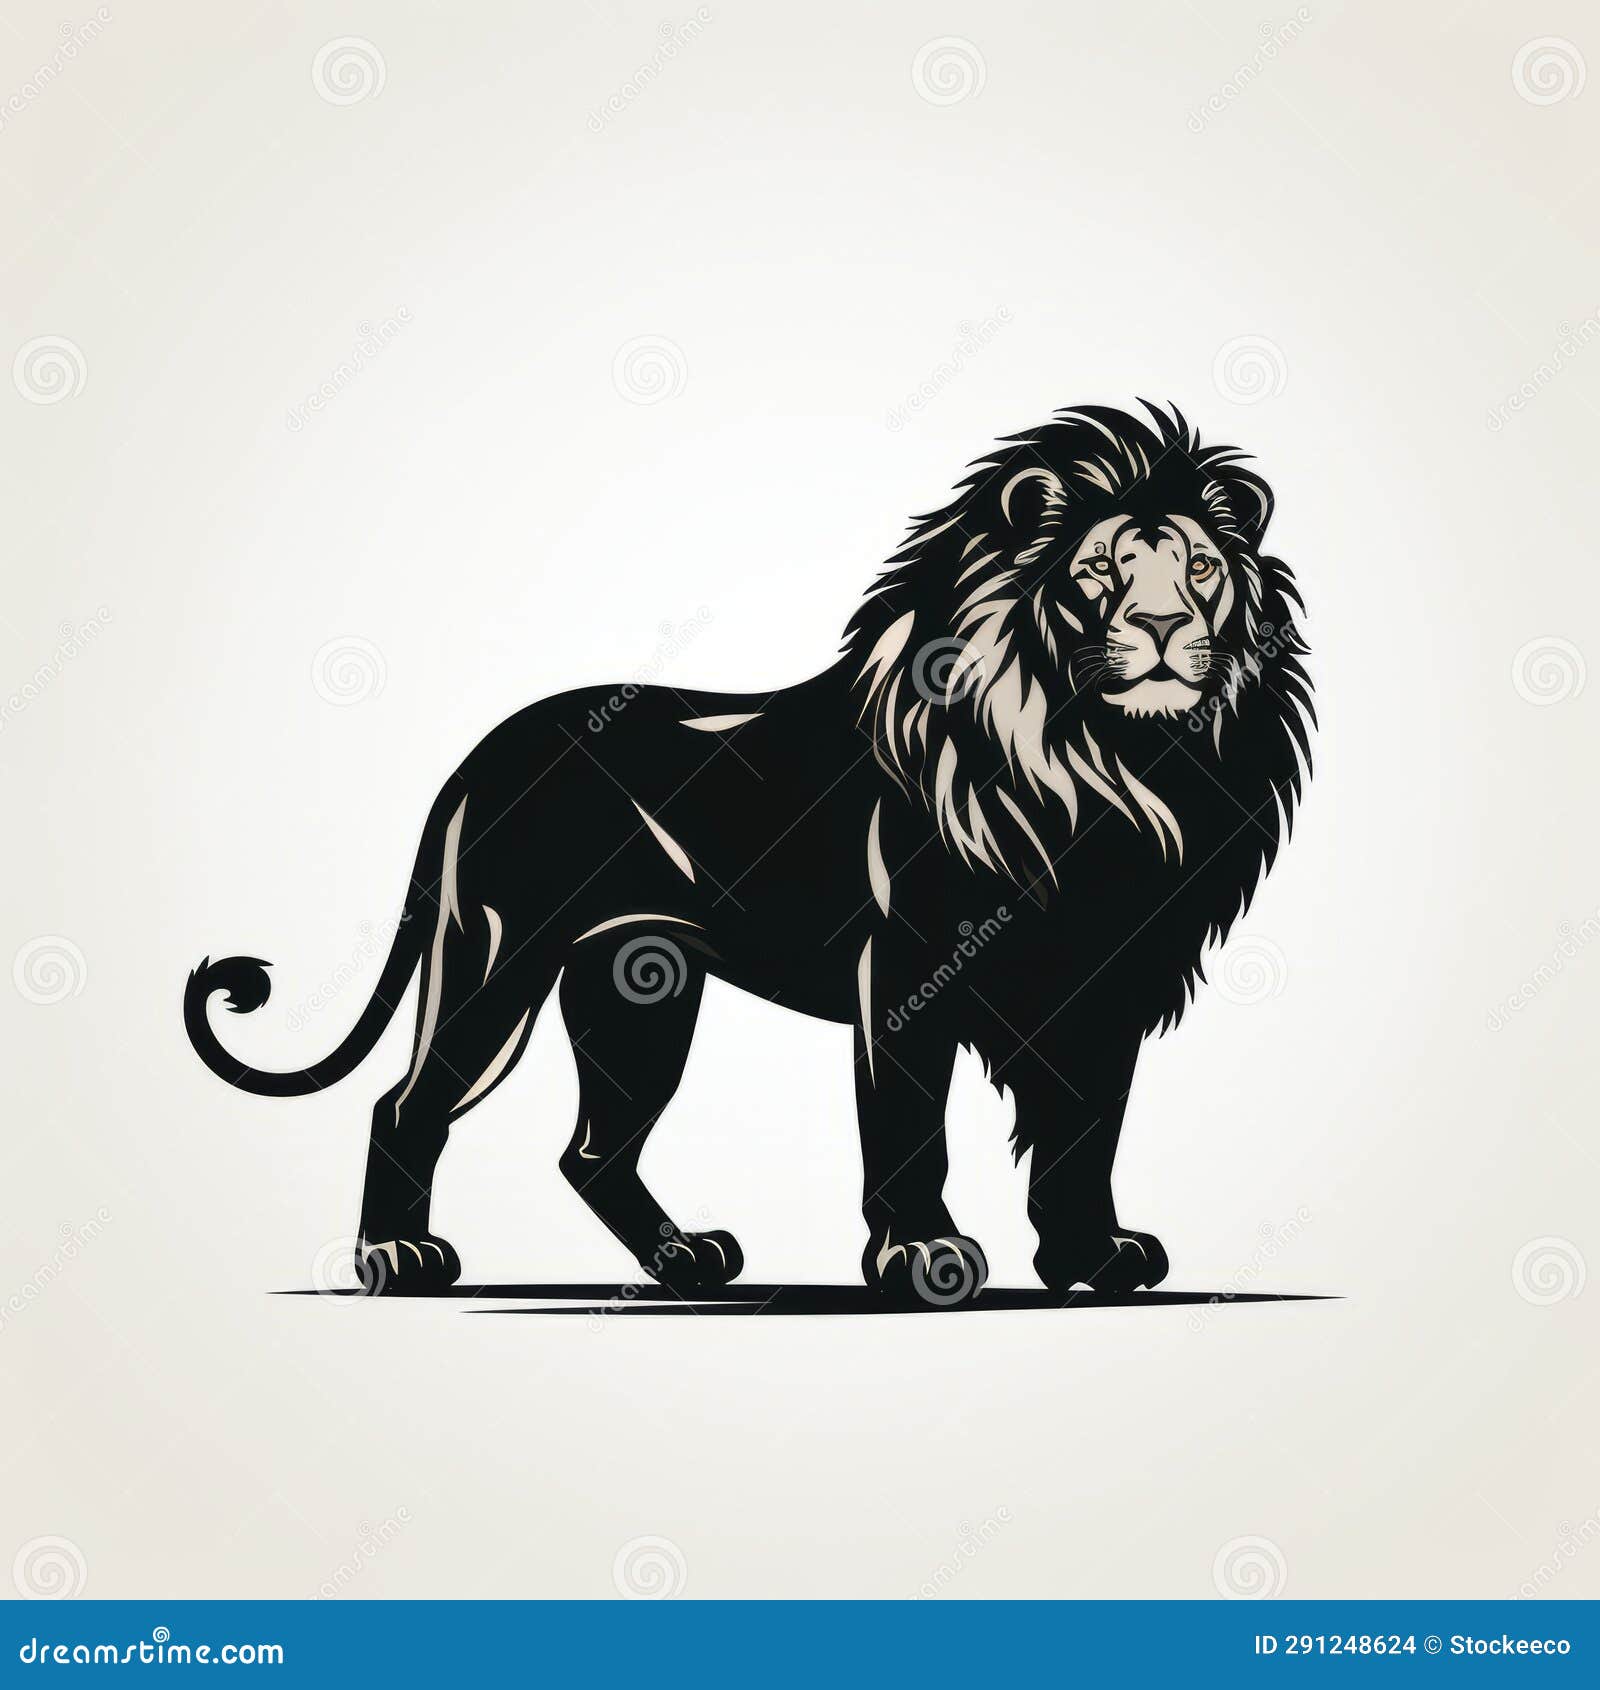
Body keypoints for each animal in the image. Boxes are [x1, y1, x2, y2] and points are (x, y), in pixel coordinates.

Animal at [186, 402, 1312, 1304]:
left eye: (1199, 569)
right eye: (1097, 571)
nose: (1162, 626)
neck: (1113, 762)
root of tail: (482, 754)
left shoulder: (1106, 981)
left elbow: (1084, 1136)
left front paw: (1094, 1255)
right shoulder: (905, 966)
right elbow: (909, 1124)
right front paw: (925, 1259)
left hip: (638, 991)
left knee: (592, 1150)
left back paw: (686, 1261)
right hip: (497, 957)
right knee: (405, 1105)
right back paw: (399, 1258)